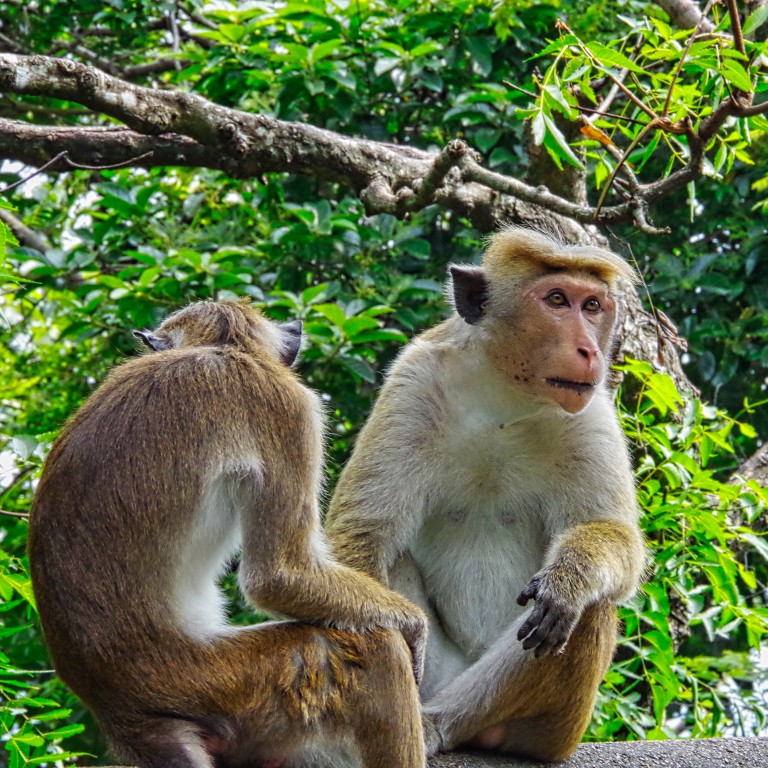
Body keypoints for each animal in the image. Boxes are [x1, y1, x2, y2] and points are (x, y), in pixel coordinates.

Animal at [28, 299, 428, 768]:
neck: (219, 350)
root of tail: (124, 716)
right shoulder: (287, 407)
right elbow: (280, 574)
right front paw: (415, 626)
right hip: (232, 683)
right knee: (373, 647)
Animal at [325, 227, 647, 762]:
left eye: (593, 306)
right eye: (556, 300)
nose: (589, 350)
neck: (506, 399)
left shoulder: (592, 414)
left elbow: (610, 532)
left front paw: (569, 580)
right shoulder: (413, 384)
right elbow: (365, 533)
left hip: (554, 729)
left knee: (588, 610)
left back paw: (442, 723)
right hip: (438, 672)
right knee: (392, 559)